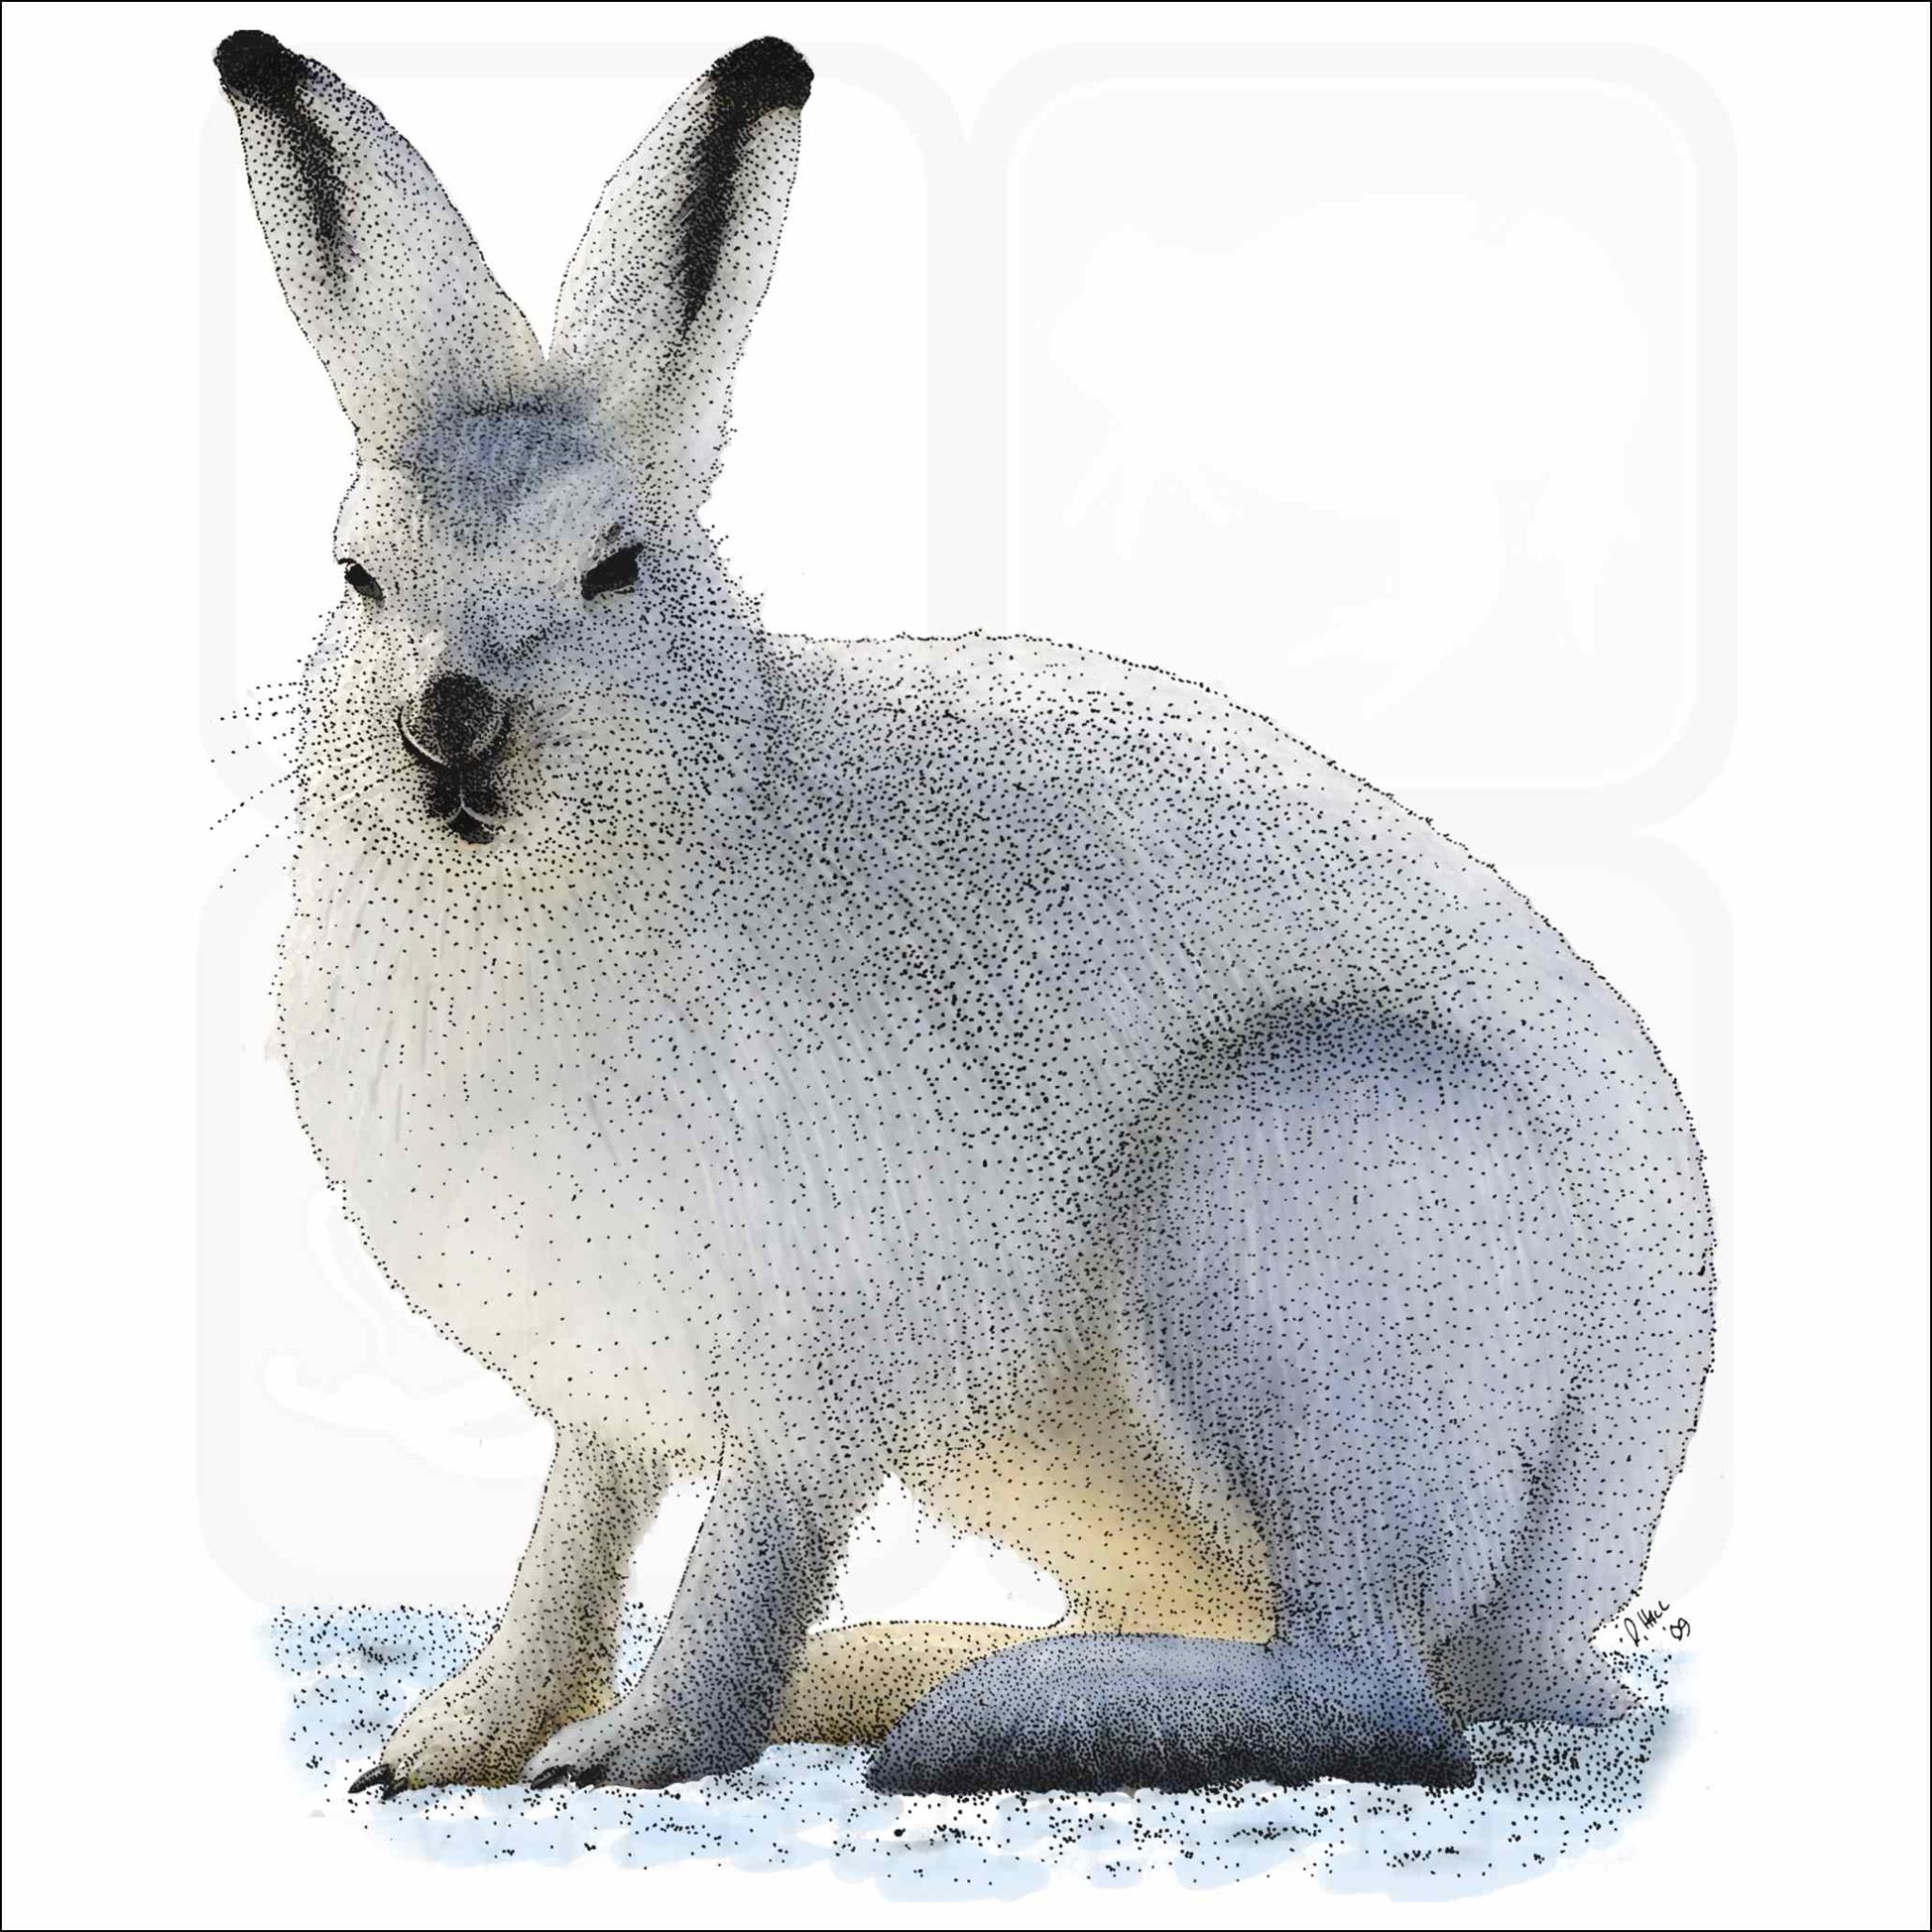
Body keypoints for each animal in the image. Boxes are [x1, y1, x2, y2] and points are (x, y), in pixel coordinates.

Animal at [217, 29, 1714, 1798]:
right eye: (359, 576)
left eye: (615, 568)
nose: (449, 719)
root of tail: (1561, 1597)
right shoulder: (610, 1385)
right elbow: (570, 1539)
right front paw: (455, 1736)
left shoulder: (812, 1364)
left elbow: (745, 1556)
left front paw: (638, 1742)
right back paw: (908, 1673)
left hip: (1291, 1189)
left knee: (1377, 1690)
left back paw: (991, 1722)